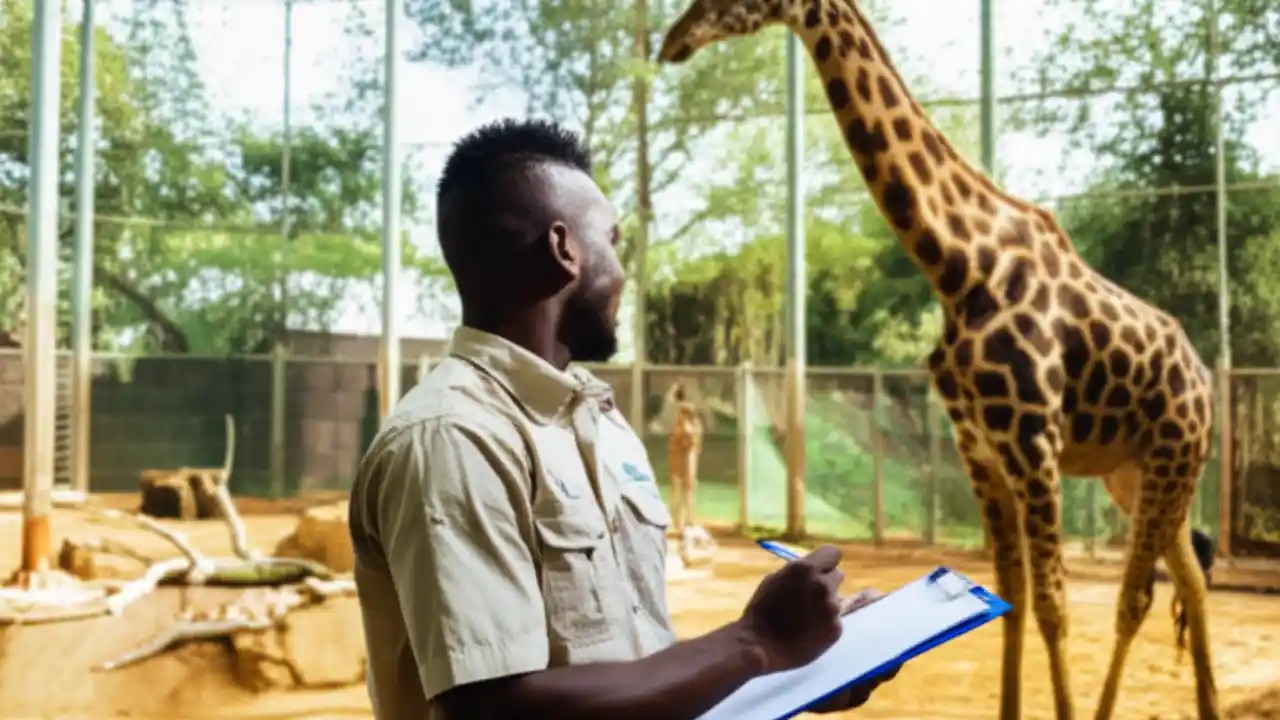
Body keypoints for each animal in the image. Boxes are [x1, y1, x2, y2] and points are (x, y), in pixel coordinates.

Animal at [656, 2, 1220, 719]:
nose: (672, 42)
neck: (958, 265)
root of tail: (1204, 382)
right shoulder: (980, 448)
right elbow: (1012, 599)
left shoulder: (1033, 443)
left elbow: (1053, 607)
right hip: (1138, 472)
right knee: (1191, 579)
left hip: (1172, 456)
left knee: (1138, 596)